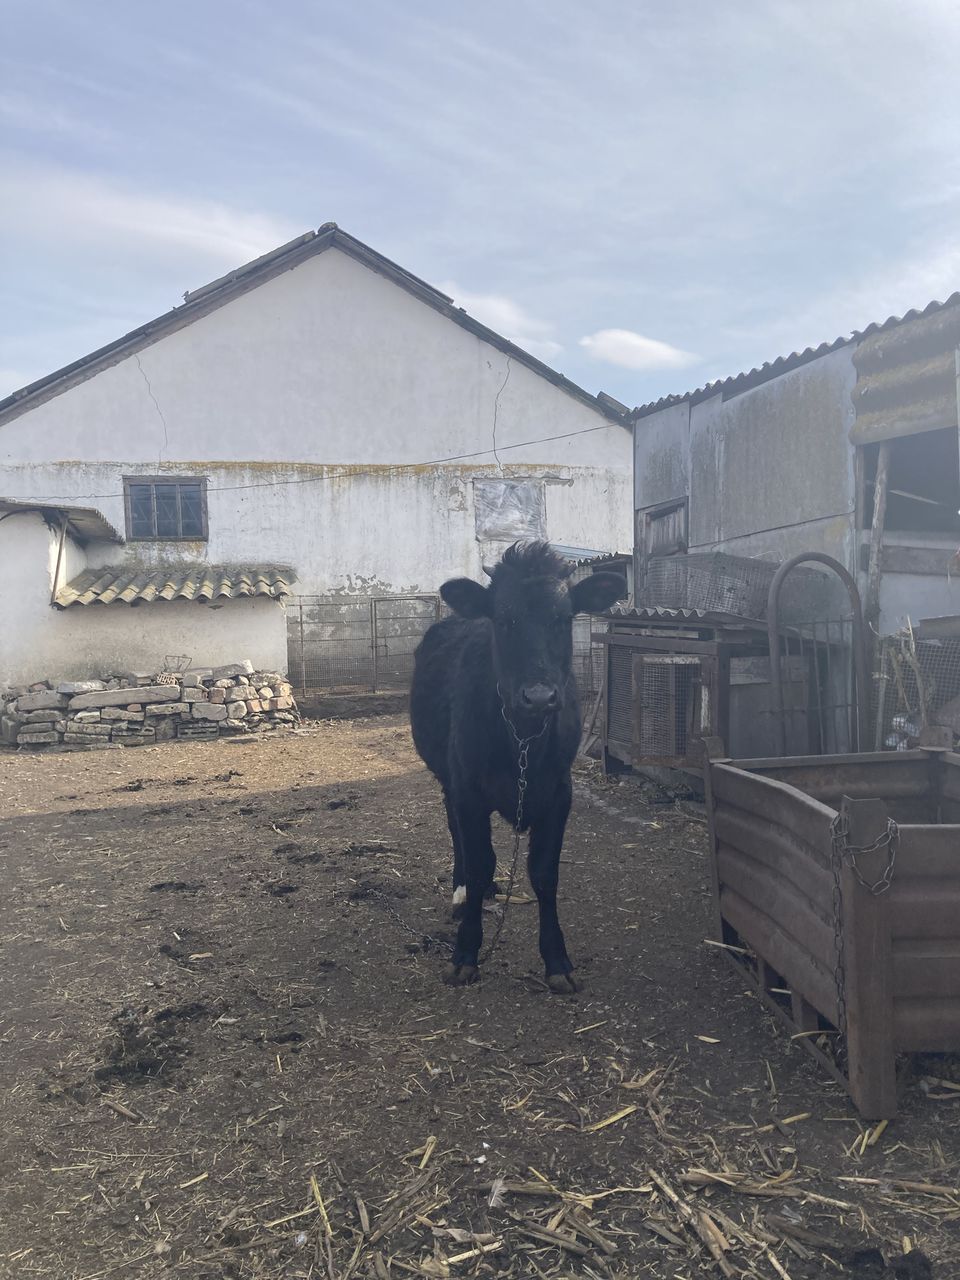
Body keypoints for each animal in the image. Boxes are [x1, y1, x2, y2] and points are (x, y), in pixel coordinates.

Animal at [410, 541, 626, 992]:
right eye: (504, 620)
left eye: (563, 618)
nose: (539, 696)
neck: (522, 740)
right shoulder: (468, 790)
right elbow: (478, 864)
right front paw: (465, 952)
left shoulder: (560, 793)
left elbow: (544, 873)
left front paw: (557, 960)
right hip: (448, 778)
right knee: (455, 833)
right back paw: (462, 894)